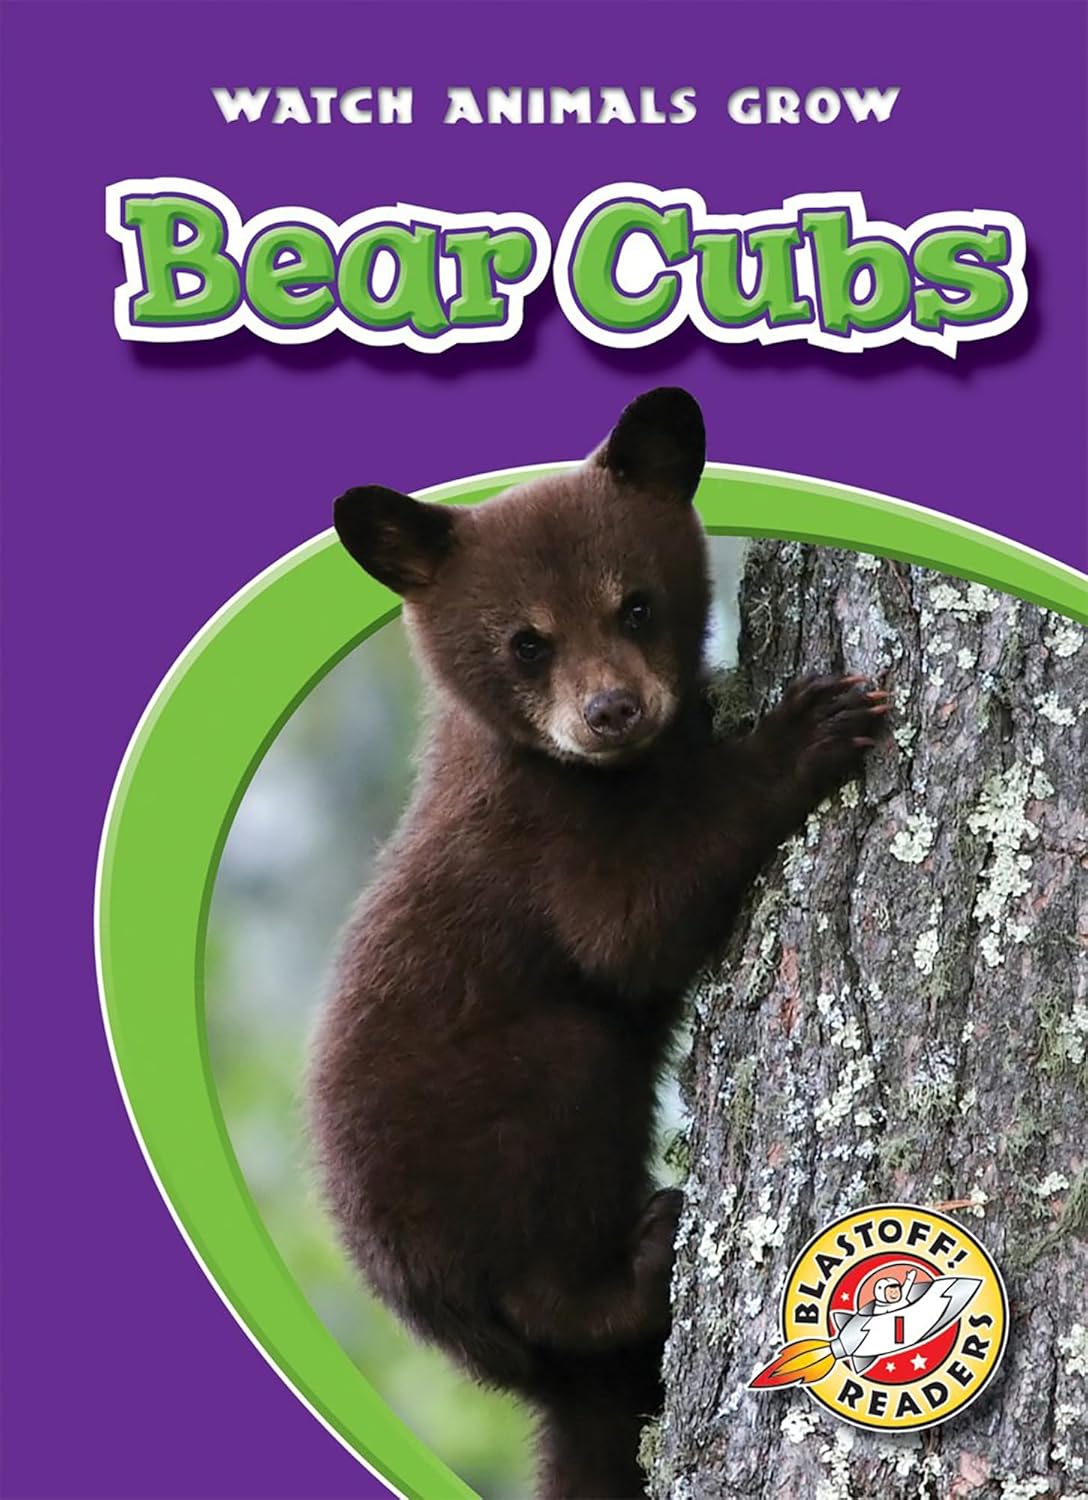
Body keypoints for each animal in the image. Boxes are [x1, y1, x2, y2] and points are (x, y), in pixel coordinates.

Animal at [307, 387, 888, 1499]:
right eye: (525, 641)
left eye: (636, 605)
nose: (612, 710)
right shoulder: (538, 841)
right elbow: (630, 928)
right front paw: (811, 727)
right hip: (499, 1133)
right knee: (552, 1223)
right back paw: (646, 1253)